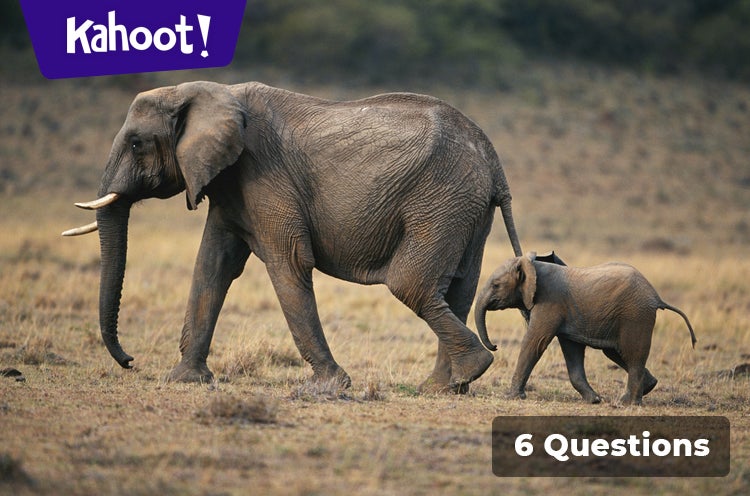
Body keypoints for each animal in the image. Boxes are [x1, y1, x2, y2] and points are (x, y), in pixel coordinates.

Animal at [62, 81, 524, 393]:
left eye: (136, 144)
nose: (129, 360)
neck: (203, 91)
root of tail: (494, 161)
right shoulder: (230, 185)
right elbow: (212, 266)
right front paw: (185, 380)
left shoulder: (263, 175)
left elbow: (288, 263)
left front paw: (329, 388)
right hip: (465, 208)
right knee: (457, 289)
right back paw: (444, 386)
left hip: (441, 198)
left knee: (411, 284)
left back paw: (470, 369)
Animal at [474, 252, 697, 405]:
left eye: (495, 285)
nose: (495, 346)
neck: (532, 266)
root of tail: (656, 296)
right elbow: (571, 350)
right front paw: (594, 400)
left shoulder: (549, 302)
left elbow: (535, 342)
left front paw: (510, 397)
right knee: (617, 352)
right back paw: (648, 387)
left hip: (635, 315)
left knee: (633, 354)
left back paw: (626, 403)